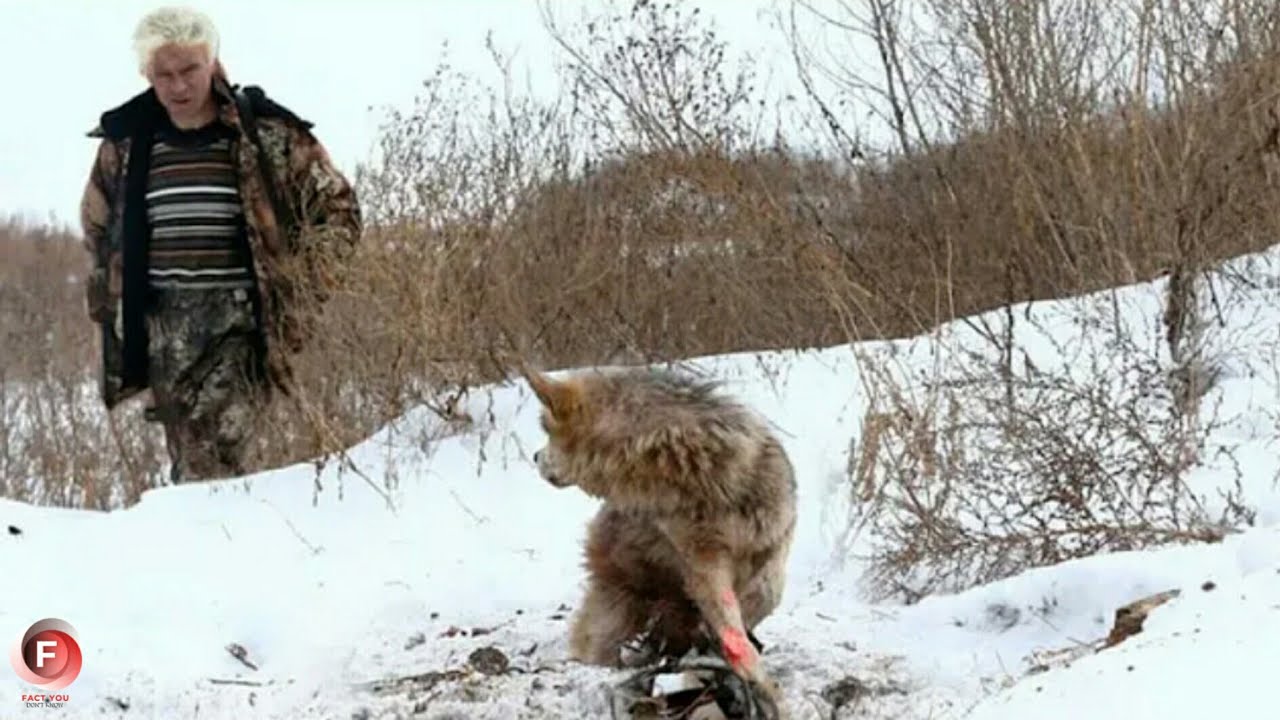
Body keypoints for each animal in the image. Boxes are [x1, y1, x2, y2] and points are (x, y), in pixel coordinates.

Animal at [520, 363, 798, 706]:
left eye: (547, 432)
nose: (535, 457)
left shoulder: (774, 544)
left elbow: (760, 602)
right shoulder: (702, 564)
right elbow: (733, 633)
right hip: (620, 608)